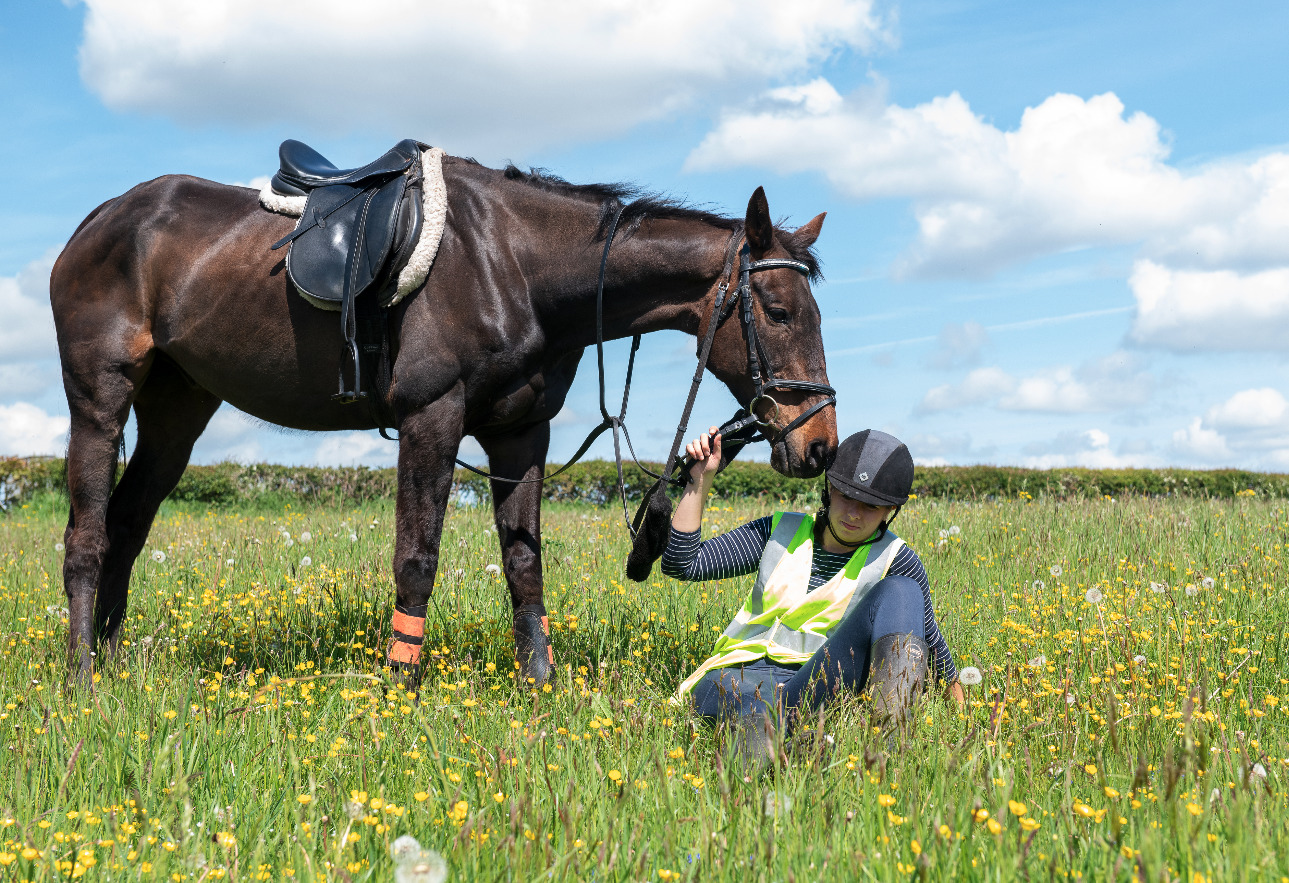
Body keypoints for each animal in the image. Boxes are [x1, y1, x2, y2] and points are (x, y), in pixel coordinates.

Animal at [50, 155, 838, 686]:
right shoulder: (431, 419)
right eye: (778, 312)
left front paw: (539, 685)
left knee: (127, 527)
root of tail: (102, 217)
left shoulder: (521, 434)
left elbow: (524, 561)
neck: (517, 264)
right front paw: (401, 683)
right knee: (88, 537)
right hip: (98, 401)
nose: (820, 444)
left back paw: (112, 664)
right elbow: (416, 558)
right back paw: (84, 677)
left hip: (176, 413)